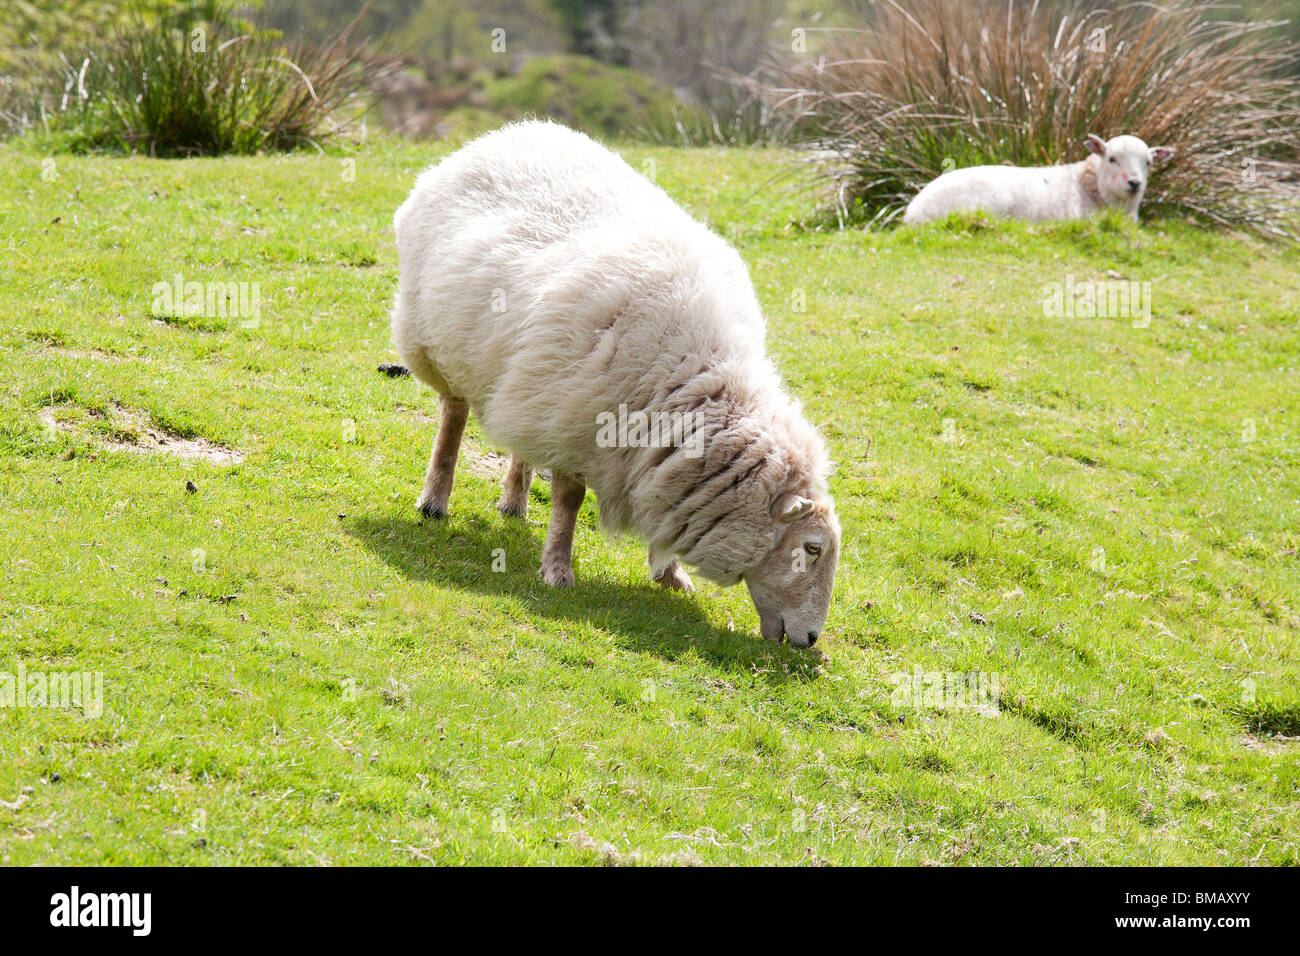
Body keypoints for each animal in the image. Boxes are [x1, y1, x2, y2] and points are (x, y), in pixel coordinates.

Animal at [390, 121, 840, 648]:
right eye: (812, 547)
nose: (812, 640)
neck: (699, 381)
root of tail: (505, 133)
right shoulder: (579, 423)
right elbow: (569, 502)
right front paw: (558, 571)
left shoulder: (616, 436)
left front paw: (671, 576)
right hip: (441, 345)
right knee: (453, 415)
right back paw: (435, 500)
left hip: (533, 376)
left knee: (518, 435)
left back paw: (514, 502)